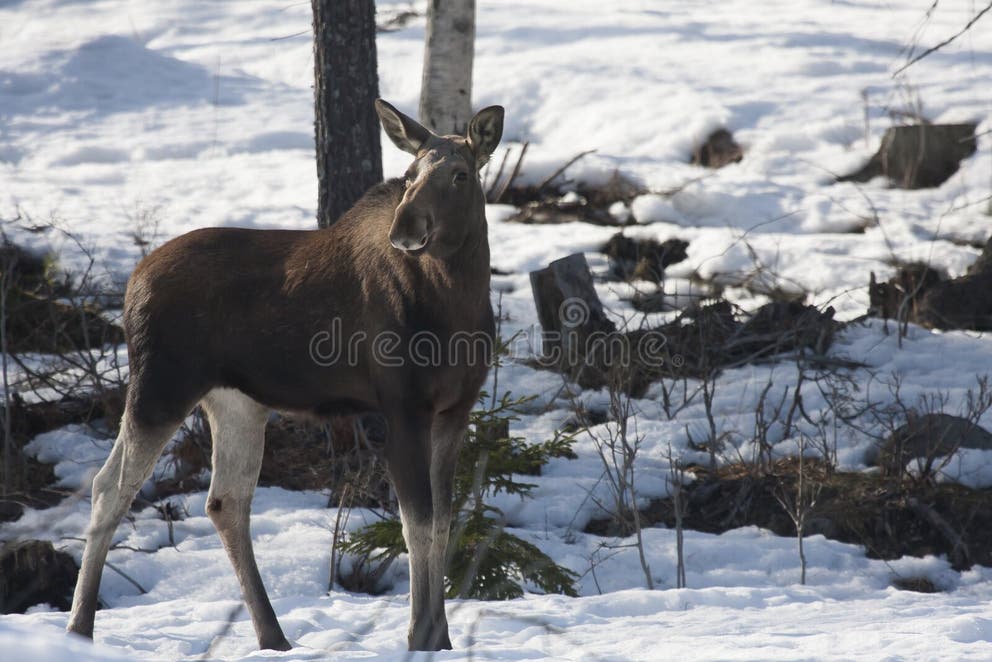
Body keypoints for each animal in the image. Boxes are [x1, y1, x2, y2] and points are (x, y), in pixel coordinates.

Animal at [66, 99, 504, 652]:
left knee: (225, 501)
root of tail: (130, 283)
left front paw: (441, 637)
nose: (406, 227)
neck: (458, 305)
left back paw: (273, 635)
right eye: (408, 176)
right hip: (160, 388)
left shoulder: (455, 408)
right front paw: (419, 636)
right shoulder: (401, 406)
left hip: (236, 401)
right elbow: (417, 525)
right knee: (110, 487)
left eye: (461, 174)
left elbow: (445, 521)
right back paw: (79, 627)